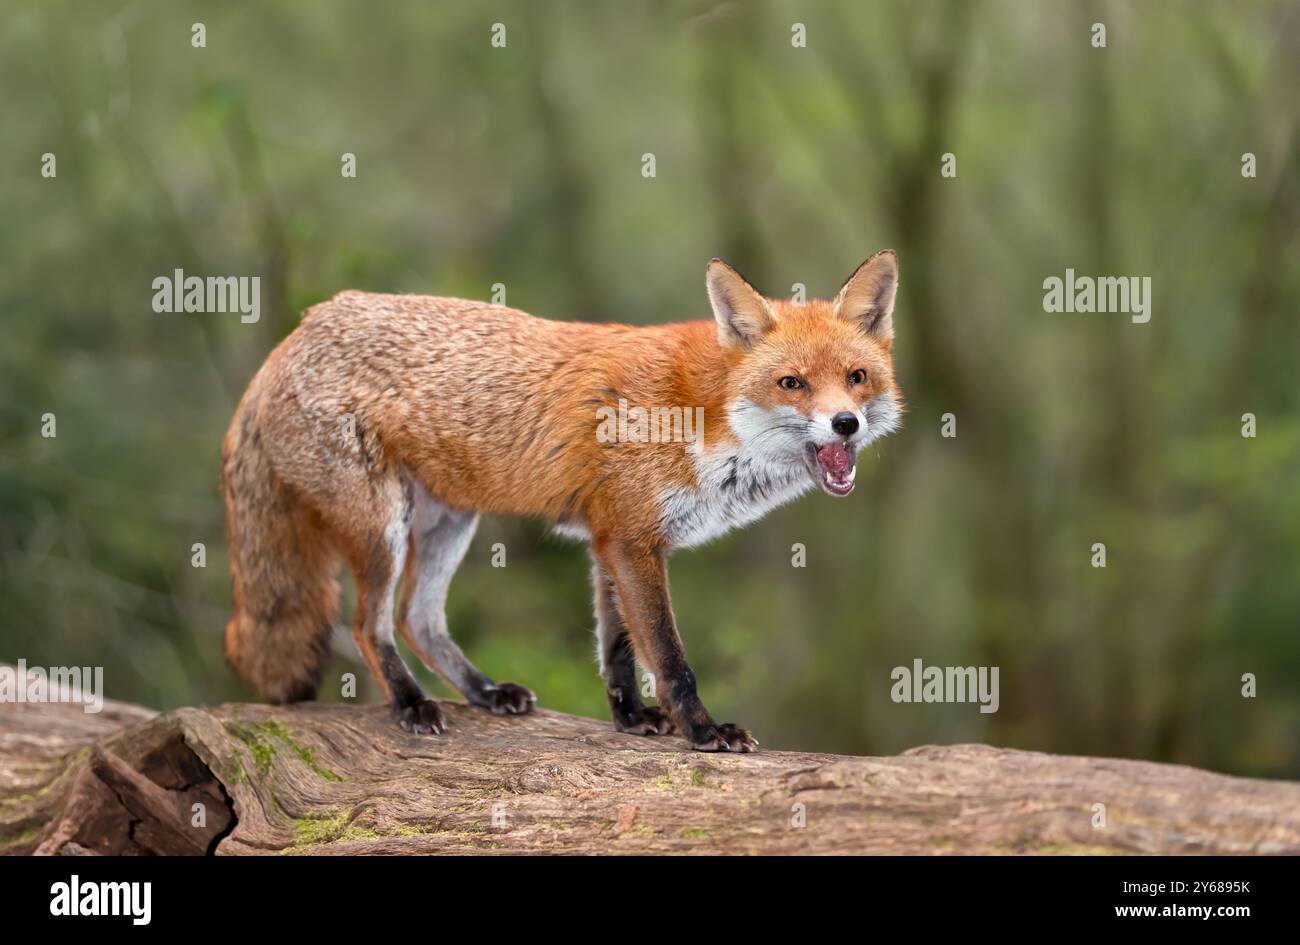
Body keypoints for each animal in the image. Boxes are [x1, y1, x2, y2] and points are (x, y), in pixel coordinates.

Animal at [221, 250, 903, 751]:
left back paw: (484, 692)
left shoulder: (611, 538)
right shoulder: (631, 540)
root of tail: (292, 336)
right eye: (792, 383)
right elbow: (670, 657)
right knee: (371, 624)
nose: (846, 424)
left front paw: (632, 720)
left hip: (449, 522)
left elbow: (618, 652)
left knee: (419, 617)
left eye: (856, 379)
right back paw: (411, 704)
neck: (703, 414)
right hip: (382, 529)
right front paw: (703, 730)